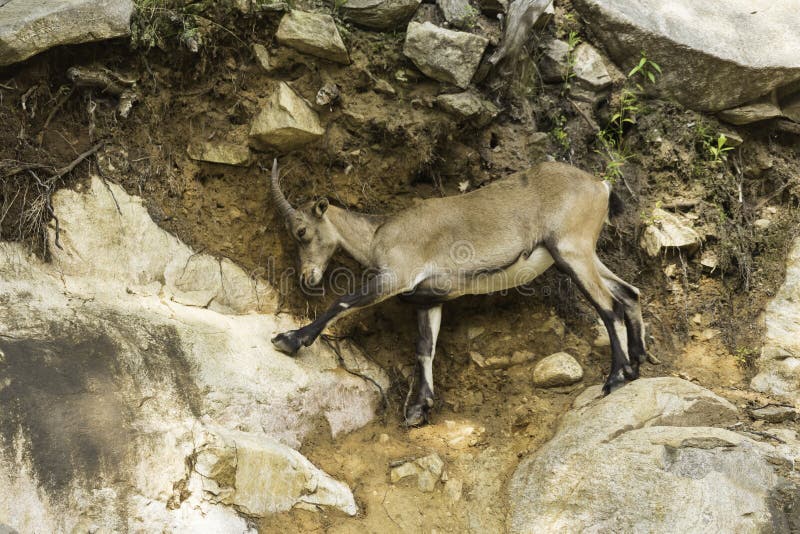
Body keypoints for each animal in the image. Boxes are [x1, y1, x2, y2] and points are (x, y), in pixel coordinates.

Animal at [268, 159, 647, 426]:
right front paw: (419, 409)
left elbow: (343, 301)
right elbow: (425, 347)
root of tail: (601, 185)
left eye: (301, 231)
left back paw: (616, 377)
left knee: (608, 305)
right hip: (584, 252)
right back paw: (638, 361)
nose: (307, 277)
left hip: (571, 248)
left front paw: (290, 339)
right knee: (630, 292)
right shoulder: (431, 297)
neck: (377, 233)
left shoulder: (396, 276)